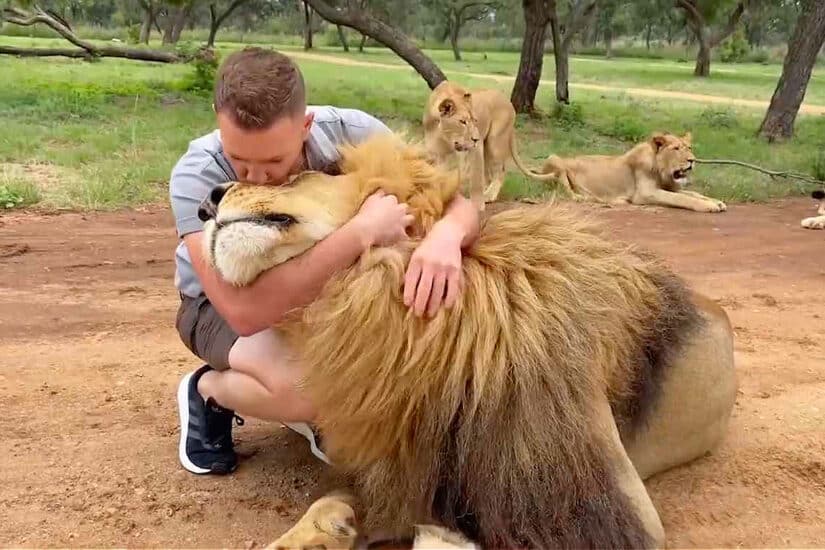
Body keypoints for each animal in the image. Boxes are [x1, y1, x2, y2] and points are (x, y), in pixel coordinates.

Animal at [422, 80, 556, 210]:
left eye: (475, 121)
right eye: (463, 122)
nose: (476, 139)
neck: (445, 136)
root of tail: (508, 102)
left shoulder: (475, 150)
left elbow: (476, 179)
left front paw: (477, 206)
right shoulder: (436, 154)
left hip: (494, 143)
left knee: (500, 170)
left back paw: (488, 195)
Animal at [539, 132, 728, 213]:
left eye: (689, 148)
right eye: (676, 149)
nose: (692, 160)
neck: (661, 171)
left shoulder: (671, 187)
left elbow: (693, 193)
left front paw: (717, 202)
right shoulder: (645, 193)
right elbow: (681, 198)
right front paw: (709, 206)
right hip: (555, 159)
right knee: (566, 191)